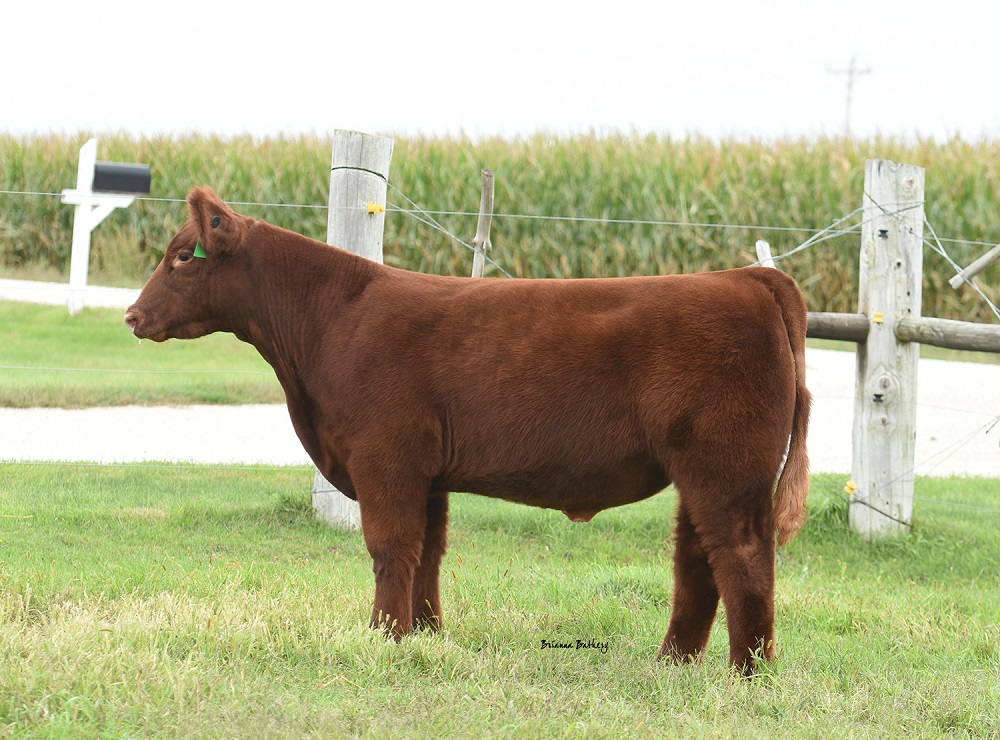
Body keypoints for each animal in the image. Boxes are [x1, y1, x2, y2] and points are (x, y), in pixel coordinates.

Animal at [125, 187, 811, 675]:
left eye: (183, 256)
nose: (132, 315)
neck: (331, 323)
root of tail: (745, 277)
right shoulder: (425, 472)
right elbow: (427, 552)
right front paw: (424, 637)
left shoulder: (385, 458)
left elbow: (390, 547)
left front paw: (383, 638)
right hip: (701, 473)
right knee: (696, 560)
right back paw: (673, 663)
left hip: (726, 469)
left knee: (743, 557)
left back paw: (746, 674)